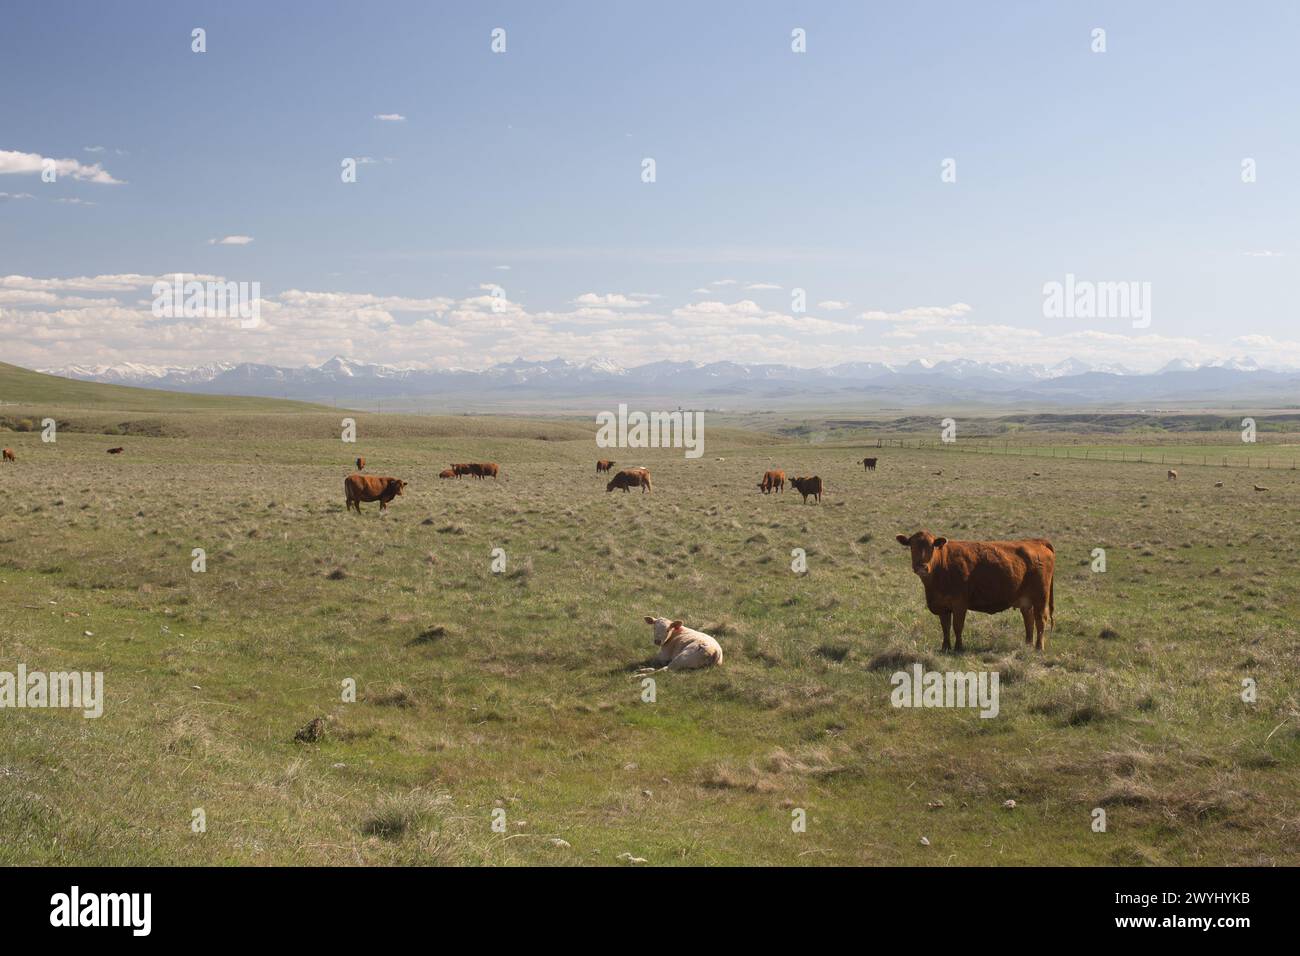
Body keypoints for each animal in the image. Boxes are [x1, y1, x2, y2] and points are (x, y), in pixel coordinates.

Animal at [895, 530, 1056, 652]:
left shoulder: (959, 604)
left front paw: (959, 648)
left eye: (932, 547)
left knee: (1040, 619)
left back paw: (1038, 648)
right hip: (1025, 600)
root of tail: (1036, 542)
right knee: (1028, 620)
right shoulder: (943, 606)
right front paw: (945, 647)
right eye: (912, 546)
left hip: (1041, 597)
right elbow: (945, 627)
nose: (922, 566)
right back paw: (1027, 645)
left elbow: (957, 626)